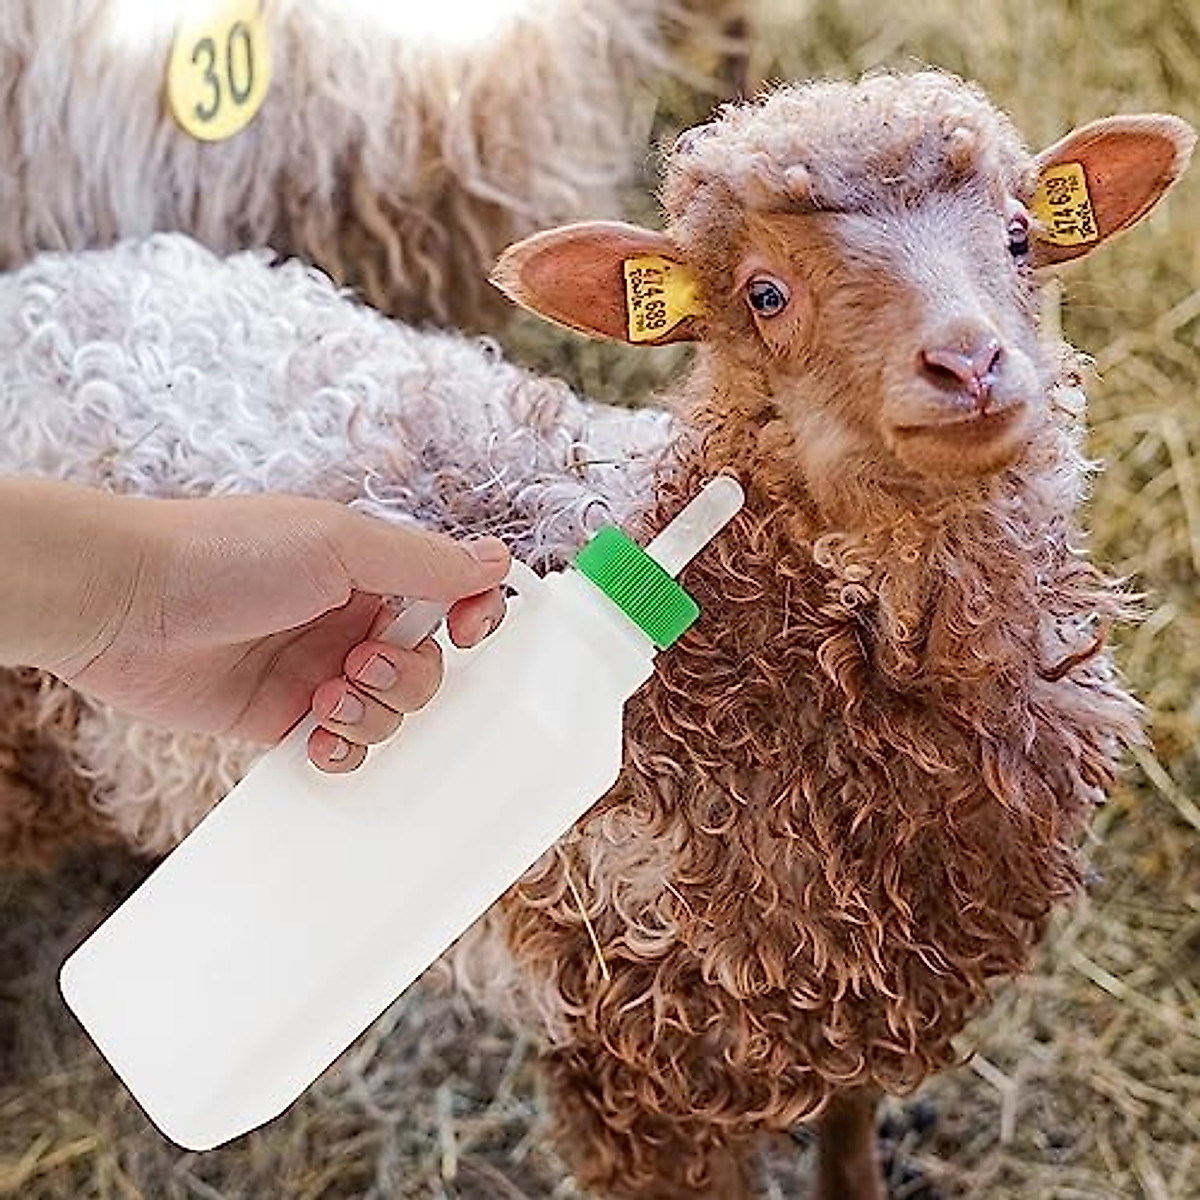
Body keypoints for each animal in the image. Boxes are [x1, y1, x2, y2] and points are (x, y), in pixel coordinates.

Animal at [1, 69, 1193, 1198]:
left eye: (1020, 234)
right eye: (764, 294)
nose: (969, 365)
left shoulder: (856, 994)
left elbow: (850, 1136)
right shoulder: (643, 1068)